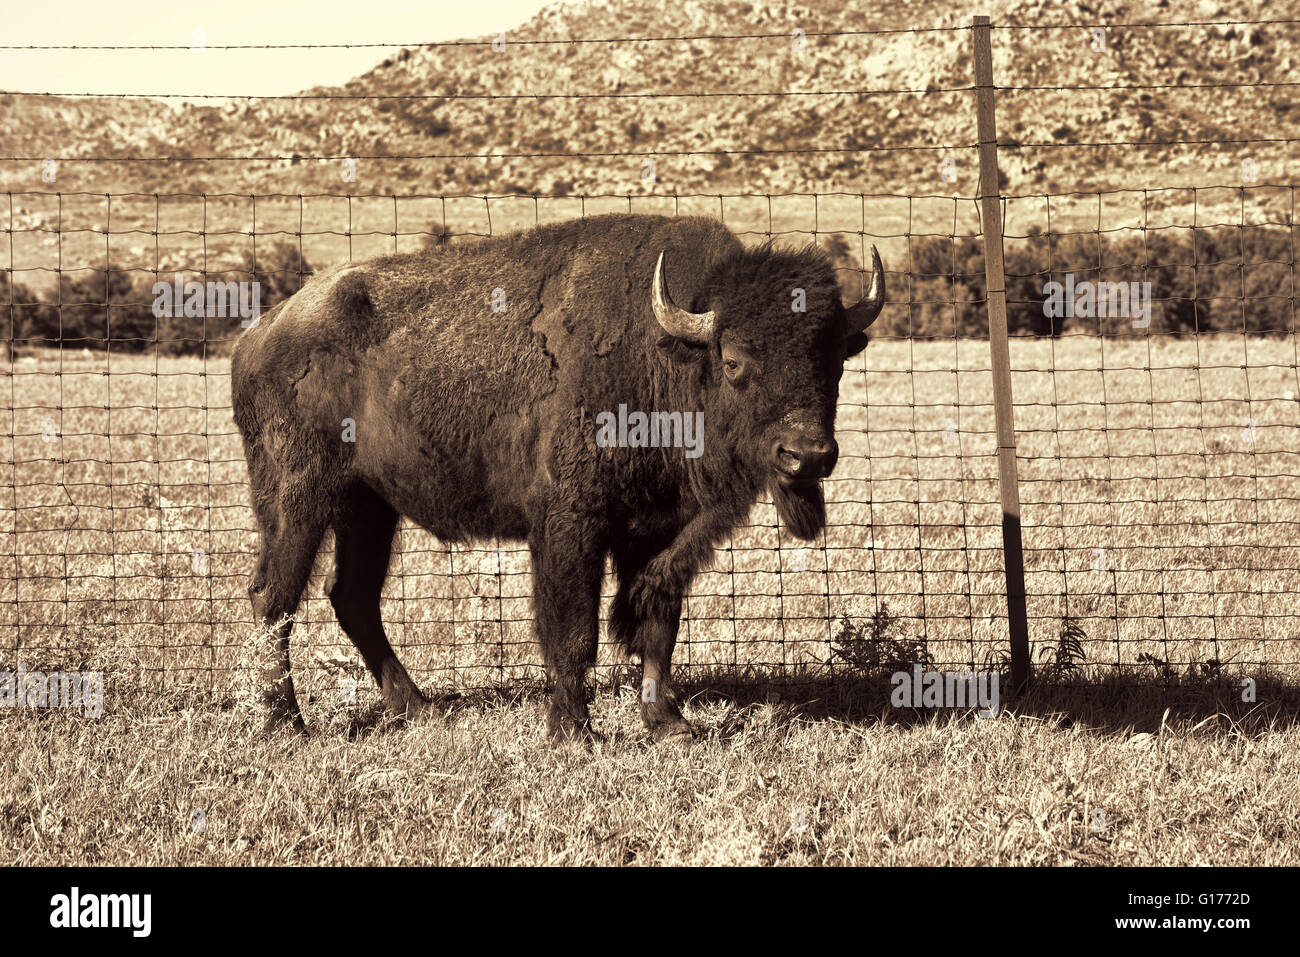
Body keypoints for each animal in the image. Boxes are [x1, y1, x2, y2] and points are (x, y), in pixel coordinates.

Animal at [231, 213, 884, 743]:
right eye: (734, 361)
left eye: (834, 360)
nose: (806, 455)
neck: (666, 352)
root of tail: (259, 334)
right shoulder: (572, 523)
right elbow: (573, 629)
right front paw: (573, 730)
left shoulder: (663, 533)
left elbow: (657, 622)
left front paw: (669, 723)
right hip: (298, 497)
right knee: (273, 598)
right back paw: (286, 724)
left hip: (368, 507)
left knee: (353, 598)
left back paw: (419, 708)